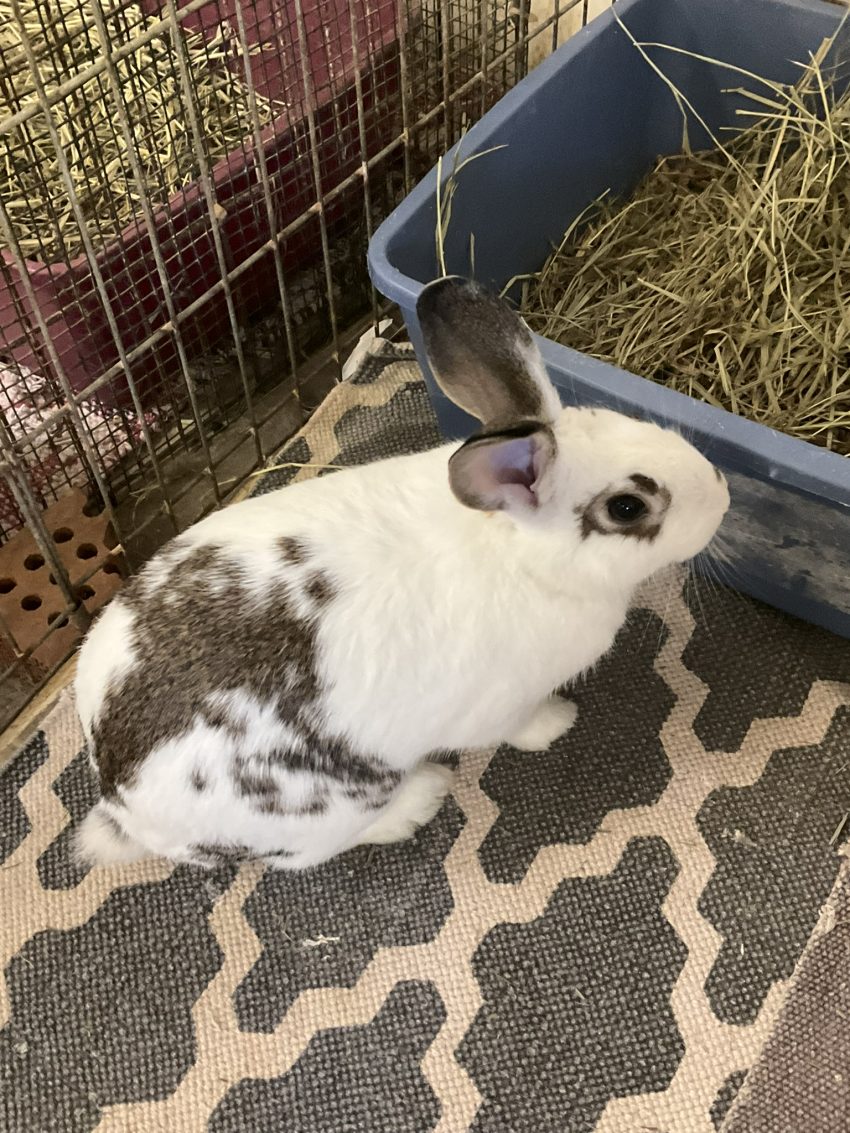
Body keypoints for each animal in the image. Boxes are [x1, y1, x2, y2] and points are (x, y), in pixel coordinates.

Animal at [73, 276, 729, 871]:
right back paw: (419, 800)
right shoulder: (501, 705)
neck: (517, 549)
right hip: (326, 810)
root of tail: (122, 808)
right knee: (309, 854)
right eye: (628, 508)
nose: (723, 494)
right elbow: (522, 727)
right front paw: (558, 723)